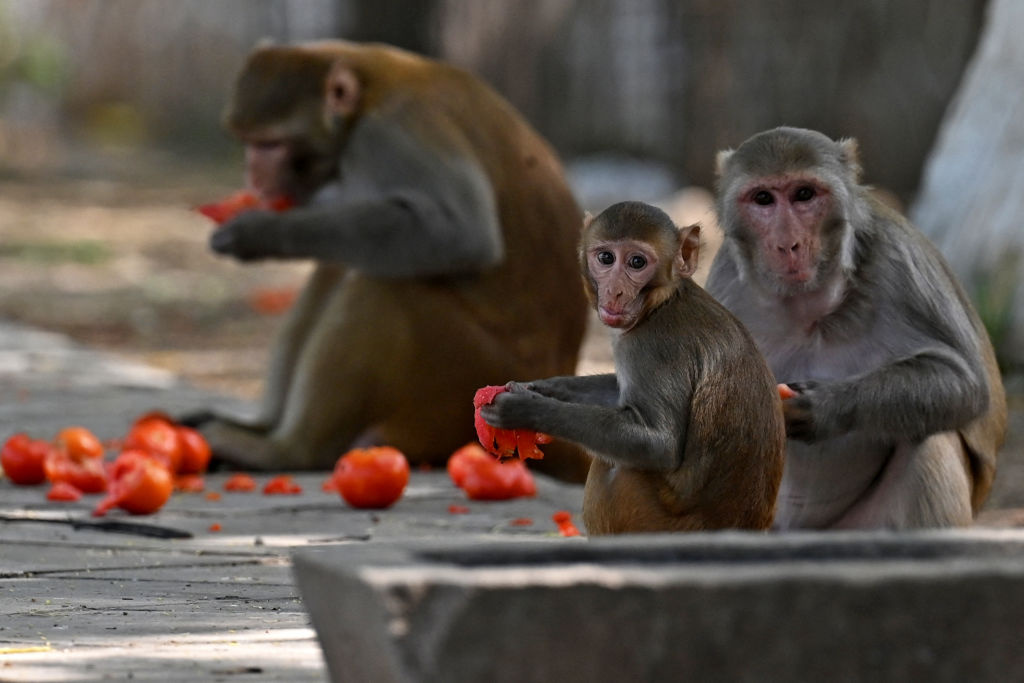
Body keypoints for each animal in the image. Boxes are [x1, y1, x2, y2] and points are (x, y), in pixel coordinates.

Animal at [188, 41, 591, 480]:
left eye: (269, 145)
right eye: (248, 142)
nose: (253, 175)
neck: (367, 90)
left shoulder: (389, 136)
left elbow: (458, 233)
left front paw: (259, 231)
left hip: (467, 378)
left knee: (382, 286)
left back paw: (290, 451)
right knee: (341, 266)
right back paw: (261, 429)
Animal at [480, 201, 786, 534]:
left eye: (637, 262)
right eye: (605, 258)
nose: (614, 291)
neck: (662, 302)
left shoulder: (652, 347)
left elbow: (658, 445)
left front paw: (524, 409)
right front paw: (540, 388)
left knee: (614, 466)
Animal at [706, 126, 1007, 530]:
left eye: (804, 194)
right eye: (763, 199)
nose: (787, 244)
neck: (808, 311)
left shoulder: (901, 260)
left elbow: (965, 382)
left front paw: (823, 405)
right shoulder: (723, 282)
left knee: (932, 440)